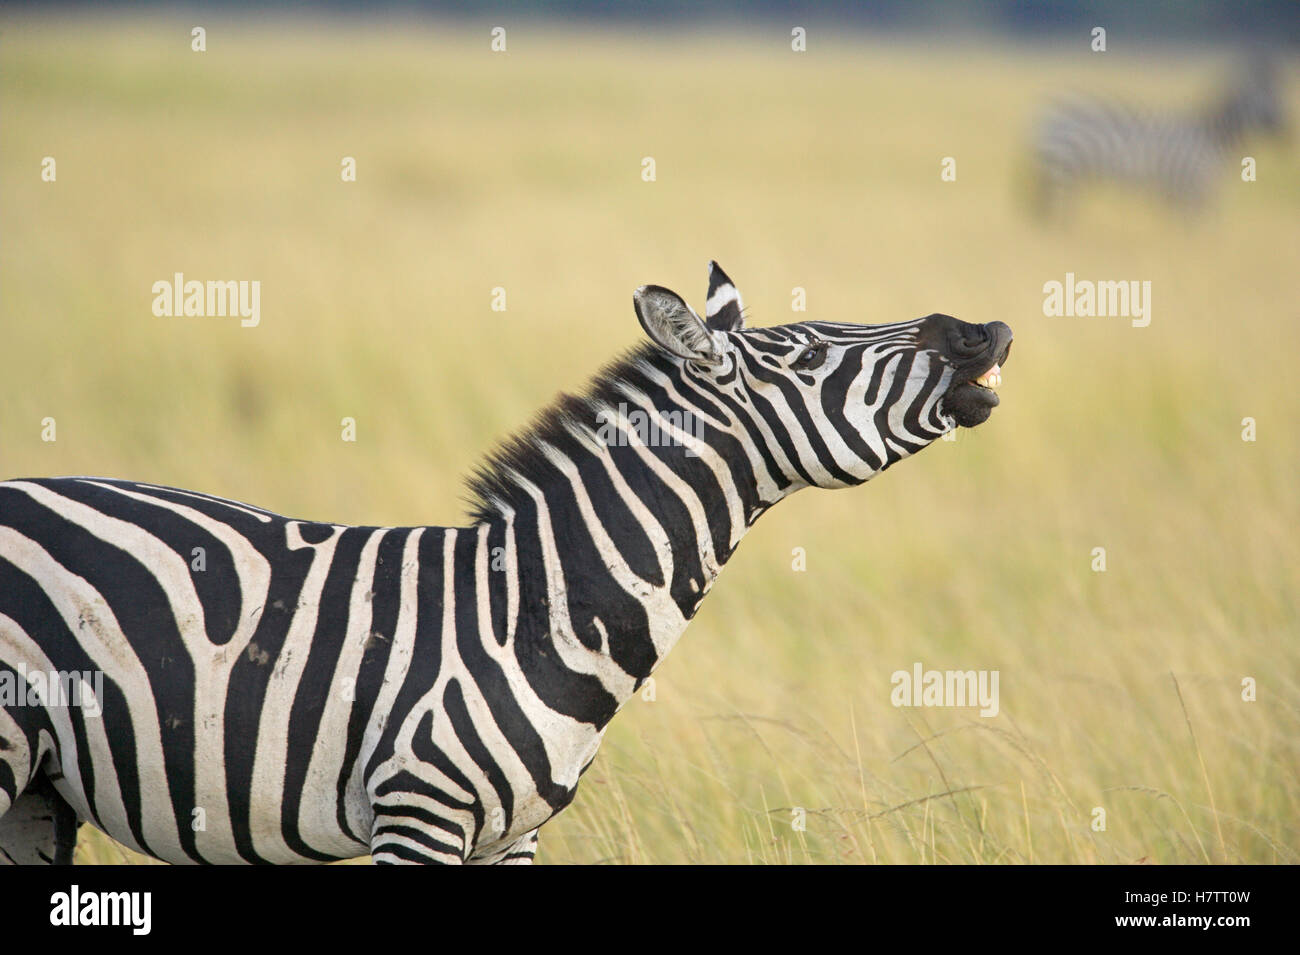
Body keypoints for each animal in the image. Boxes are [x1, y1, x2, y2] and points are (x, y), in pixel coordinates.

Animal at [0, 262, 1012, 865]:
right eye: (805, 353)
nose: (985, 329)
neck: (535, 612)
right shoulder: (417, 812)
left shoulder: (510, 834)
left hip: (42, 792)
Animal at [1031, 57, 1286, 218]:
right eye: (1265, 102)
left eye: (1282, 97)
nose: (1288, 136)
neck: (1214, 138)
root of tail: (1048, 106)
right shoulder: (1194, 189)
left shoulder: (1184, 195)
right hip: (1064, 169)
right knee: (1059, 214)